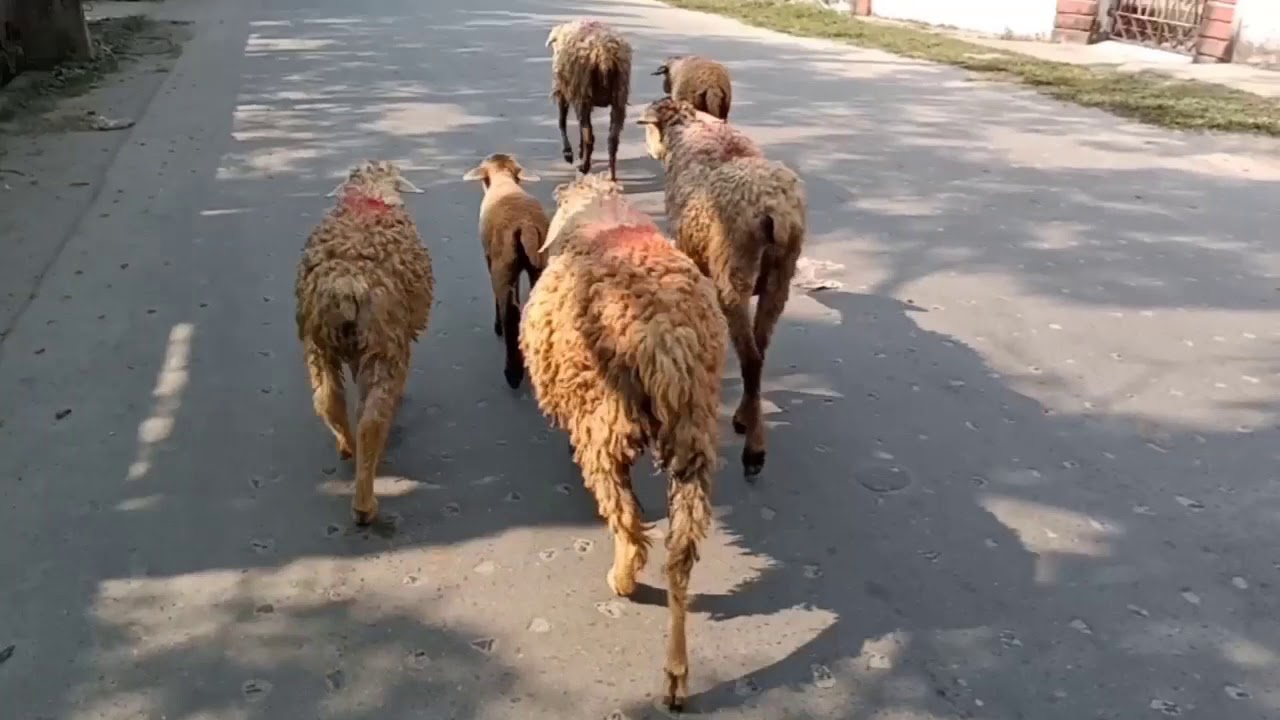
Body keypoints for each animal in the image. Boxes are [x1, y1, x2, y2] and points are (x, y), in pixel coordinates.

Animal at [294, 159, 434, 525]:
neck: (369, 198)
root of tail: (346, 285)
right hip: (383, 346)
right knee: (371, 419)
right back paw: (364, 505)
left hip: (318, 345)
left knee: (328, 399)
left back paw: (348, 447)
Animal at [461, 152, 549, 389]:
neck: (503, 179)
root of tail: (525, 225)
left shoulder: (492, 260)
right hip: (538, 263)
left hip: (502, 264)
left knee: (510, 313)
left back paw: (512, 372)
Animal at [519, 172, 728, 712]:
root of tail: (664, 335)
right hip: (693, 428)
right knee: (680, 557)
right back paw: (676, 674)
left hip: (604, 422)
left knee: (626, 518)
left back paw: (624, 577)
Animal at [545, 19, 632, 181]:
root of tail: (605, 56)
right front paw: (578, 151)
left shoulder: (564, 90)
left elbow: (562, 122)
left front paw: (568, 153)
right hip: (619, 97)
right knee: (612, 140)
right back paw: (611, 174)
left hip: (584, 93)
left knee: (589, 136)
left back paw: (584, 166)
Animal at [637, 98, 807, 478]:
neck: (687, 130)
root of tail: (774, 211)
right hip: (779, 278)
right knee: (758, 351)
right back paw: (746, 416)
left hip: (734, 272)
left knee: (751, 358)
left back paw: (754, 451)